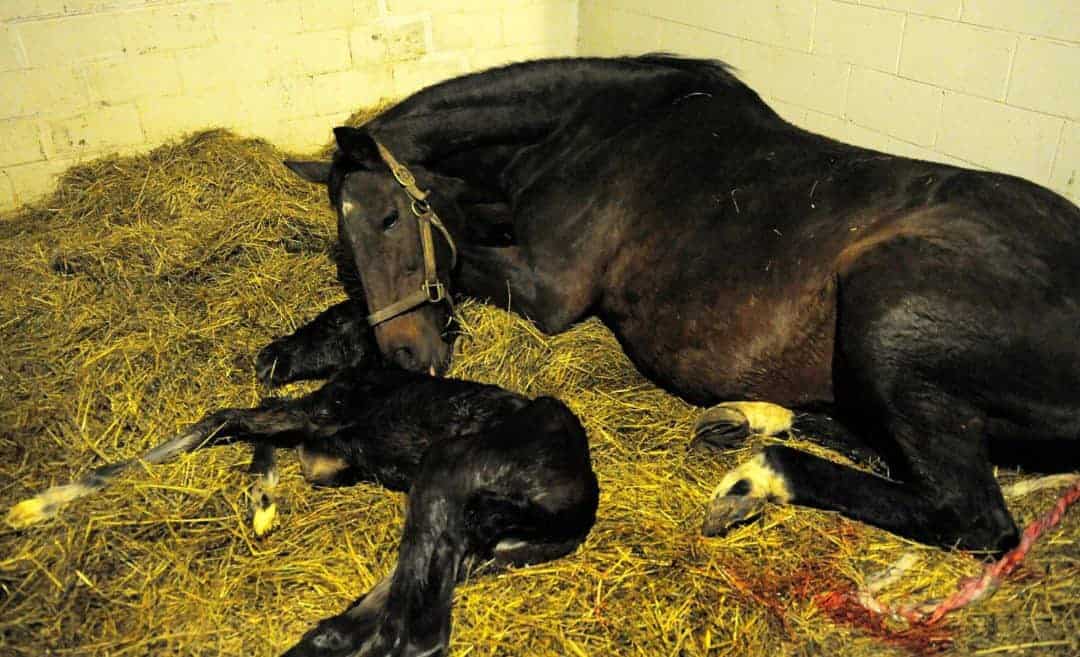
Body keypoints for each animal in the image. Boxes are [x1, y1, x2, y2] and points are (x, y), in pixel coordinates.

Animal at [277, 54, 1080, 559]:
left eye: (389, 218)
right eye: (346, 244)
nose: (409, 355)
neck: (596, 130)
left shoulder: (548, 288)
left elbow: (469, 263)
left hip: (888, 317)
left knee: (967, 514)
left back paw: (757, 477)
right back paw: (744, 419)